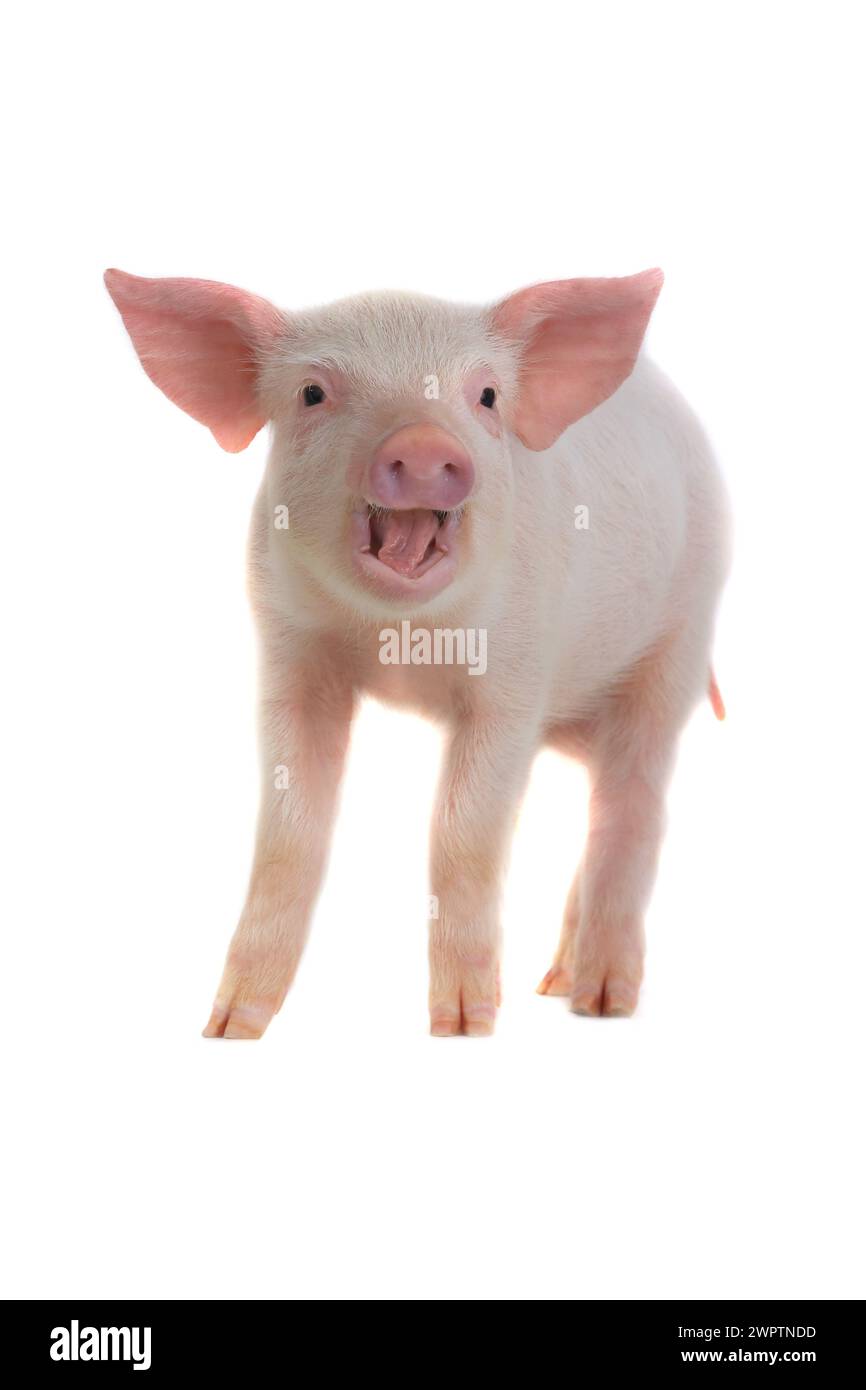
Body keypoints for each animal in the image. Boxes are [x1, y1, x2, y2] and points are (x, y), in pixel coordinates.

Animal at [105, 266, 729, 1038]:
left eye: (486, 396)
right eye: (312, 393)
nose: (427, 443)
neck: (399, 640)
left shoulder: (517, 672)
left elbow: (462, 831)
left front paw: (463, 1026)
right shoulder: (288, 646)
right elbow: (288, 832)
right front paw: (229, 1027)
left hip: (682, 634)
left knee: (635, 804)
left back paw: (600, 1002)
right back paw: (553, 982)